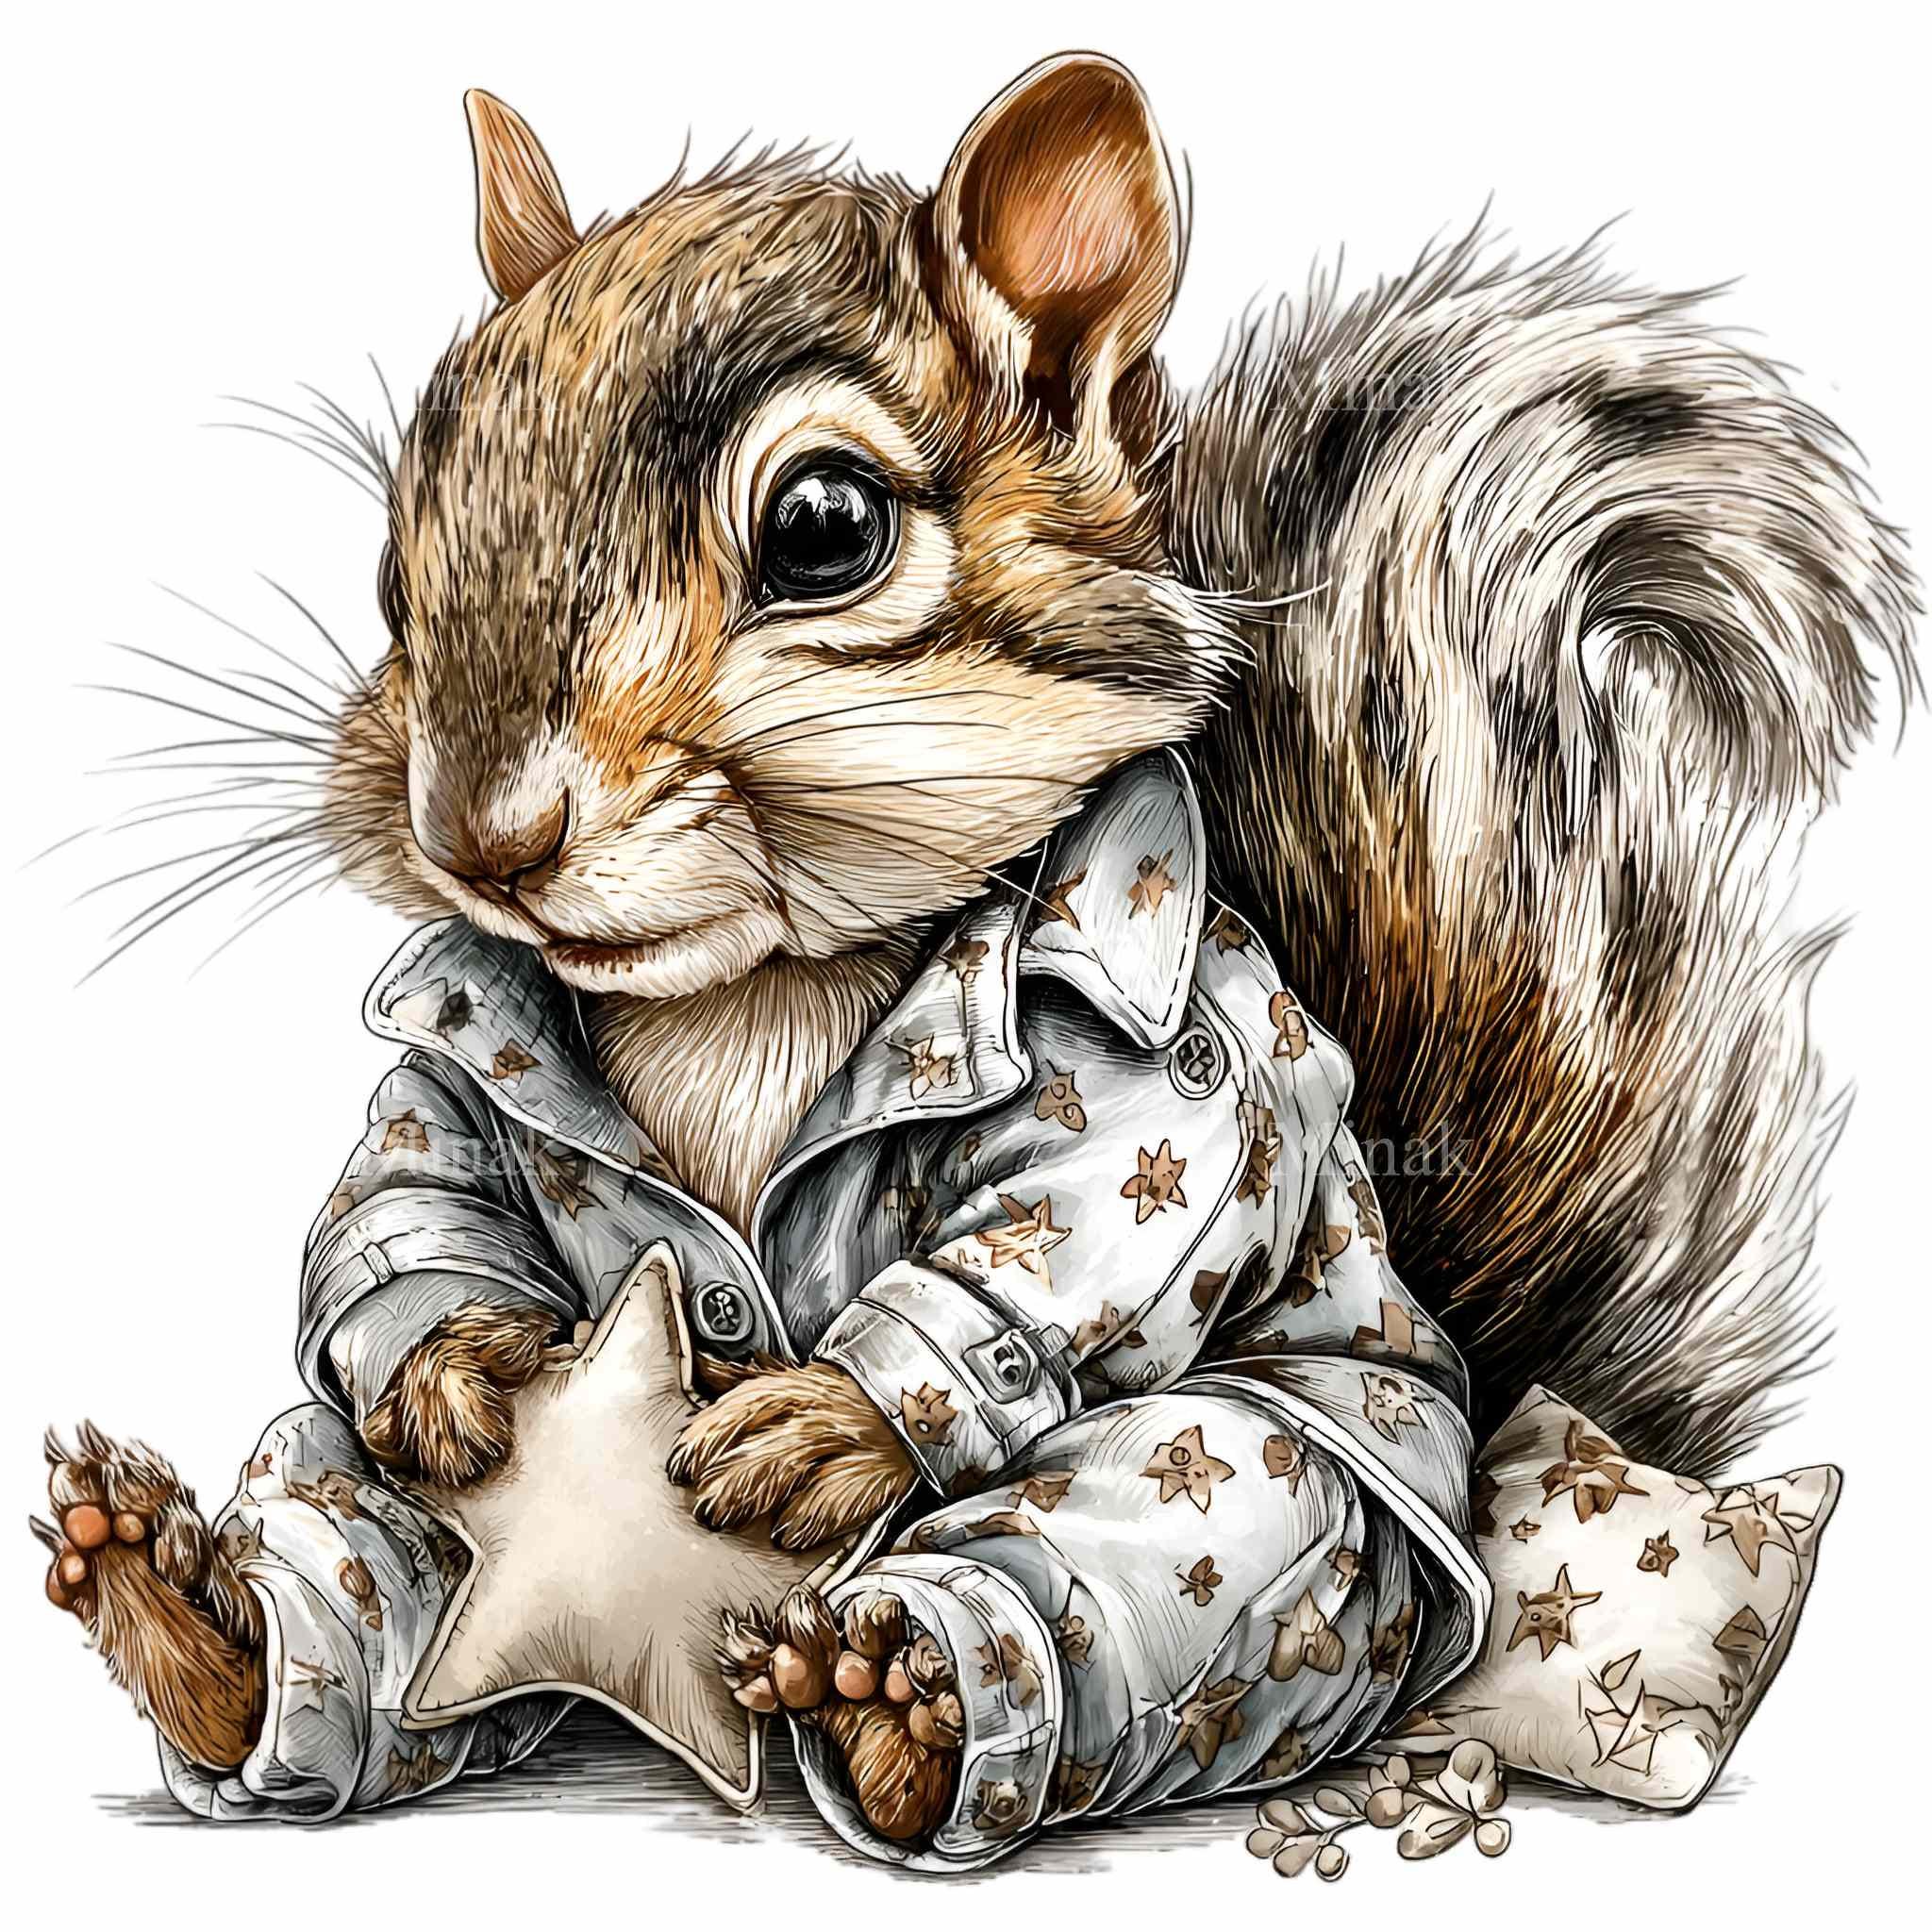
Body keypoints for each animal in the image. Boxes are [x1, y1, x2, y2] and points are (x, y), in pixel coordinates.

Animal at [38, 54, 1915, 1844]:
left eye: (822, 525)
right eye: (397, 548)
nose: (480, 839)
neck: (745, 989)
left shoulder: (1168, 1028)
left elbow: (1097, 1206)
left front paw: (834, 1418)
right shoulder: (459, 1046)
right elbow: (404, 1183)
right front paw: (447, 1358)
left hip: (1291, 1525)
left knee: (1173, 1514)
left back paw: (907, 1693)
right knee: (347, 1512)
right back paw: (197, 1620)